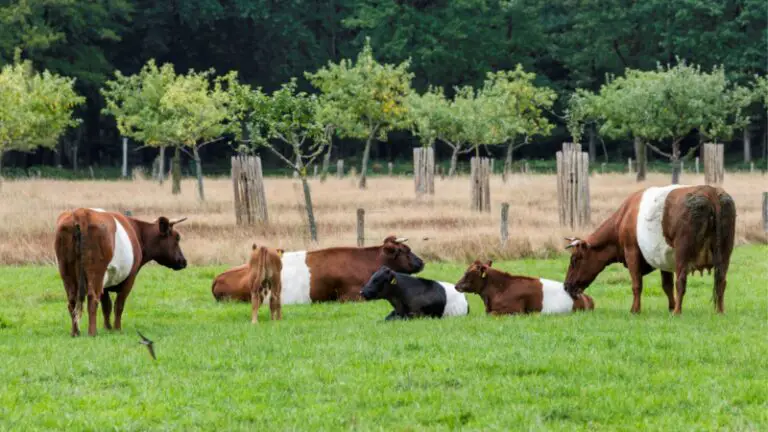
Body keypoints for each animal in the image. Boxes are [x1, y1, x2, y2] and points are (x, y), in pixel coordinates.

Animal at [54, 208, 188, 337]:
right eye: (177, 237)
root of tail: (81, 213)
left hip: (66, 271)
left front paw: (108, 328)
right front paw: (117, 329)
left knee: (72, 300)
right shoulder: (130, 277)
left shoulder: (105, 284)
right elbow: (119, 305)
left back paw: (75, 332)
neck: (138, 232)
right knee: (92, 298)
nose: (183, 261)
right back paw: (92, 333)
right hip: (96, 272)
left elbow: (106, 306)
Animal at [562, 184, 736, 315]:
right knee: (721, 280)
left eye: (574, 260)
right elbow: (666, 285)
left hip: (683, 251)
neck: (624, 217)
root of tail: (709, 190)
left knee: (681, 281)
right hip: (725, 252)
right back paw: (719, 311)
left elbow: (636, 284)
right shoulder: (664, 258)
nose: (566, 286)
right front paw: (670, 306)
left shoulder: (631, 251)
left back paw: (677, 312)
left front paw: (635, 310)